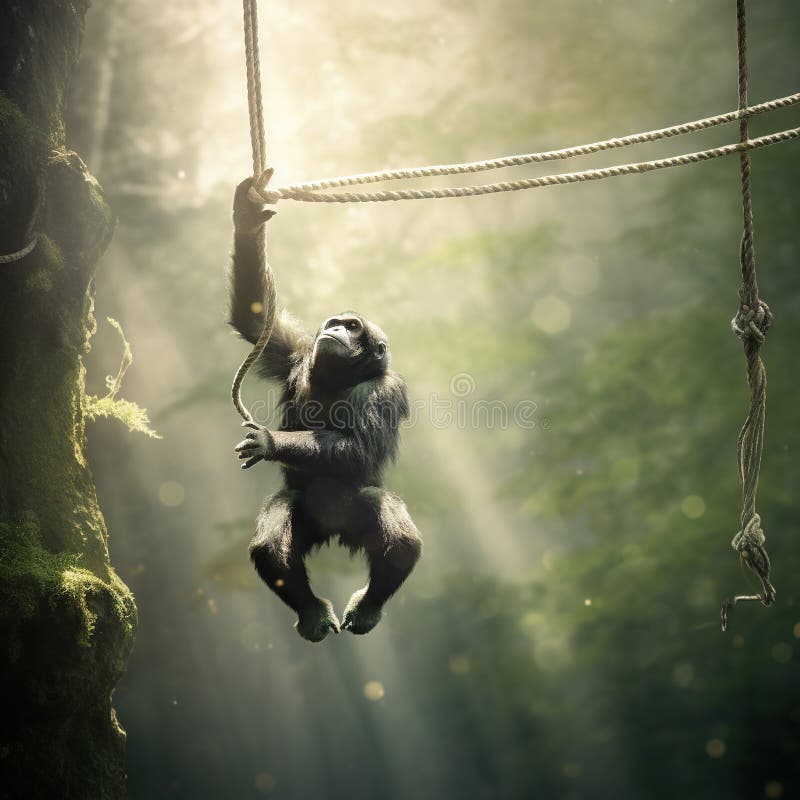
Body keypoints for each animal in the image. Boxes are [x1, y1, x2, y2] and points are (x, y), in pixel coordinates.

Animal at [228, 177, 422, 642]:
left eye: (353, 326)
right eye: (336, 322)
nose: (335, 328)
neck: (338, 377)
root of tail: (334, 533)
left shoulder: (384, 391)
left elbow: (360, 447)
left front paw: (269, 441)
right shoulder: (295, 354)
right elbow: (255, 318)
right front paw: (247, 215)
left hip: (358, 513)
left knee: (398, 536)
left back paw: (367, 608)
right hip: (304, 515)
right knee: (271, 545)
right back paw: (312, 611)